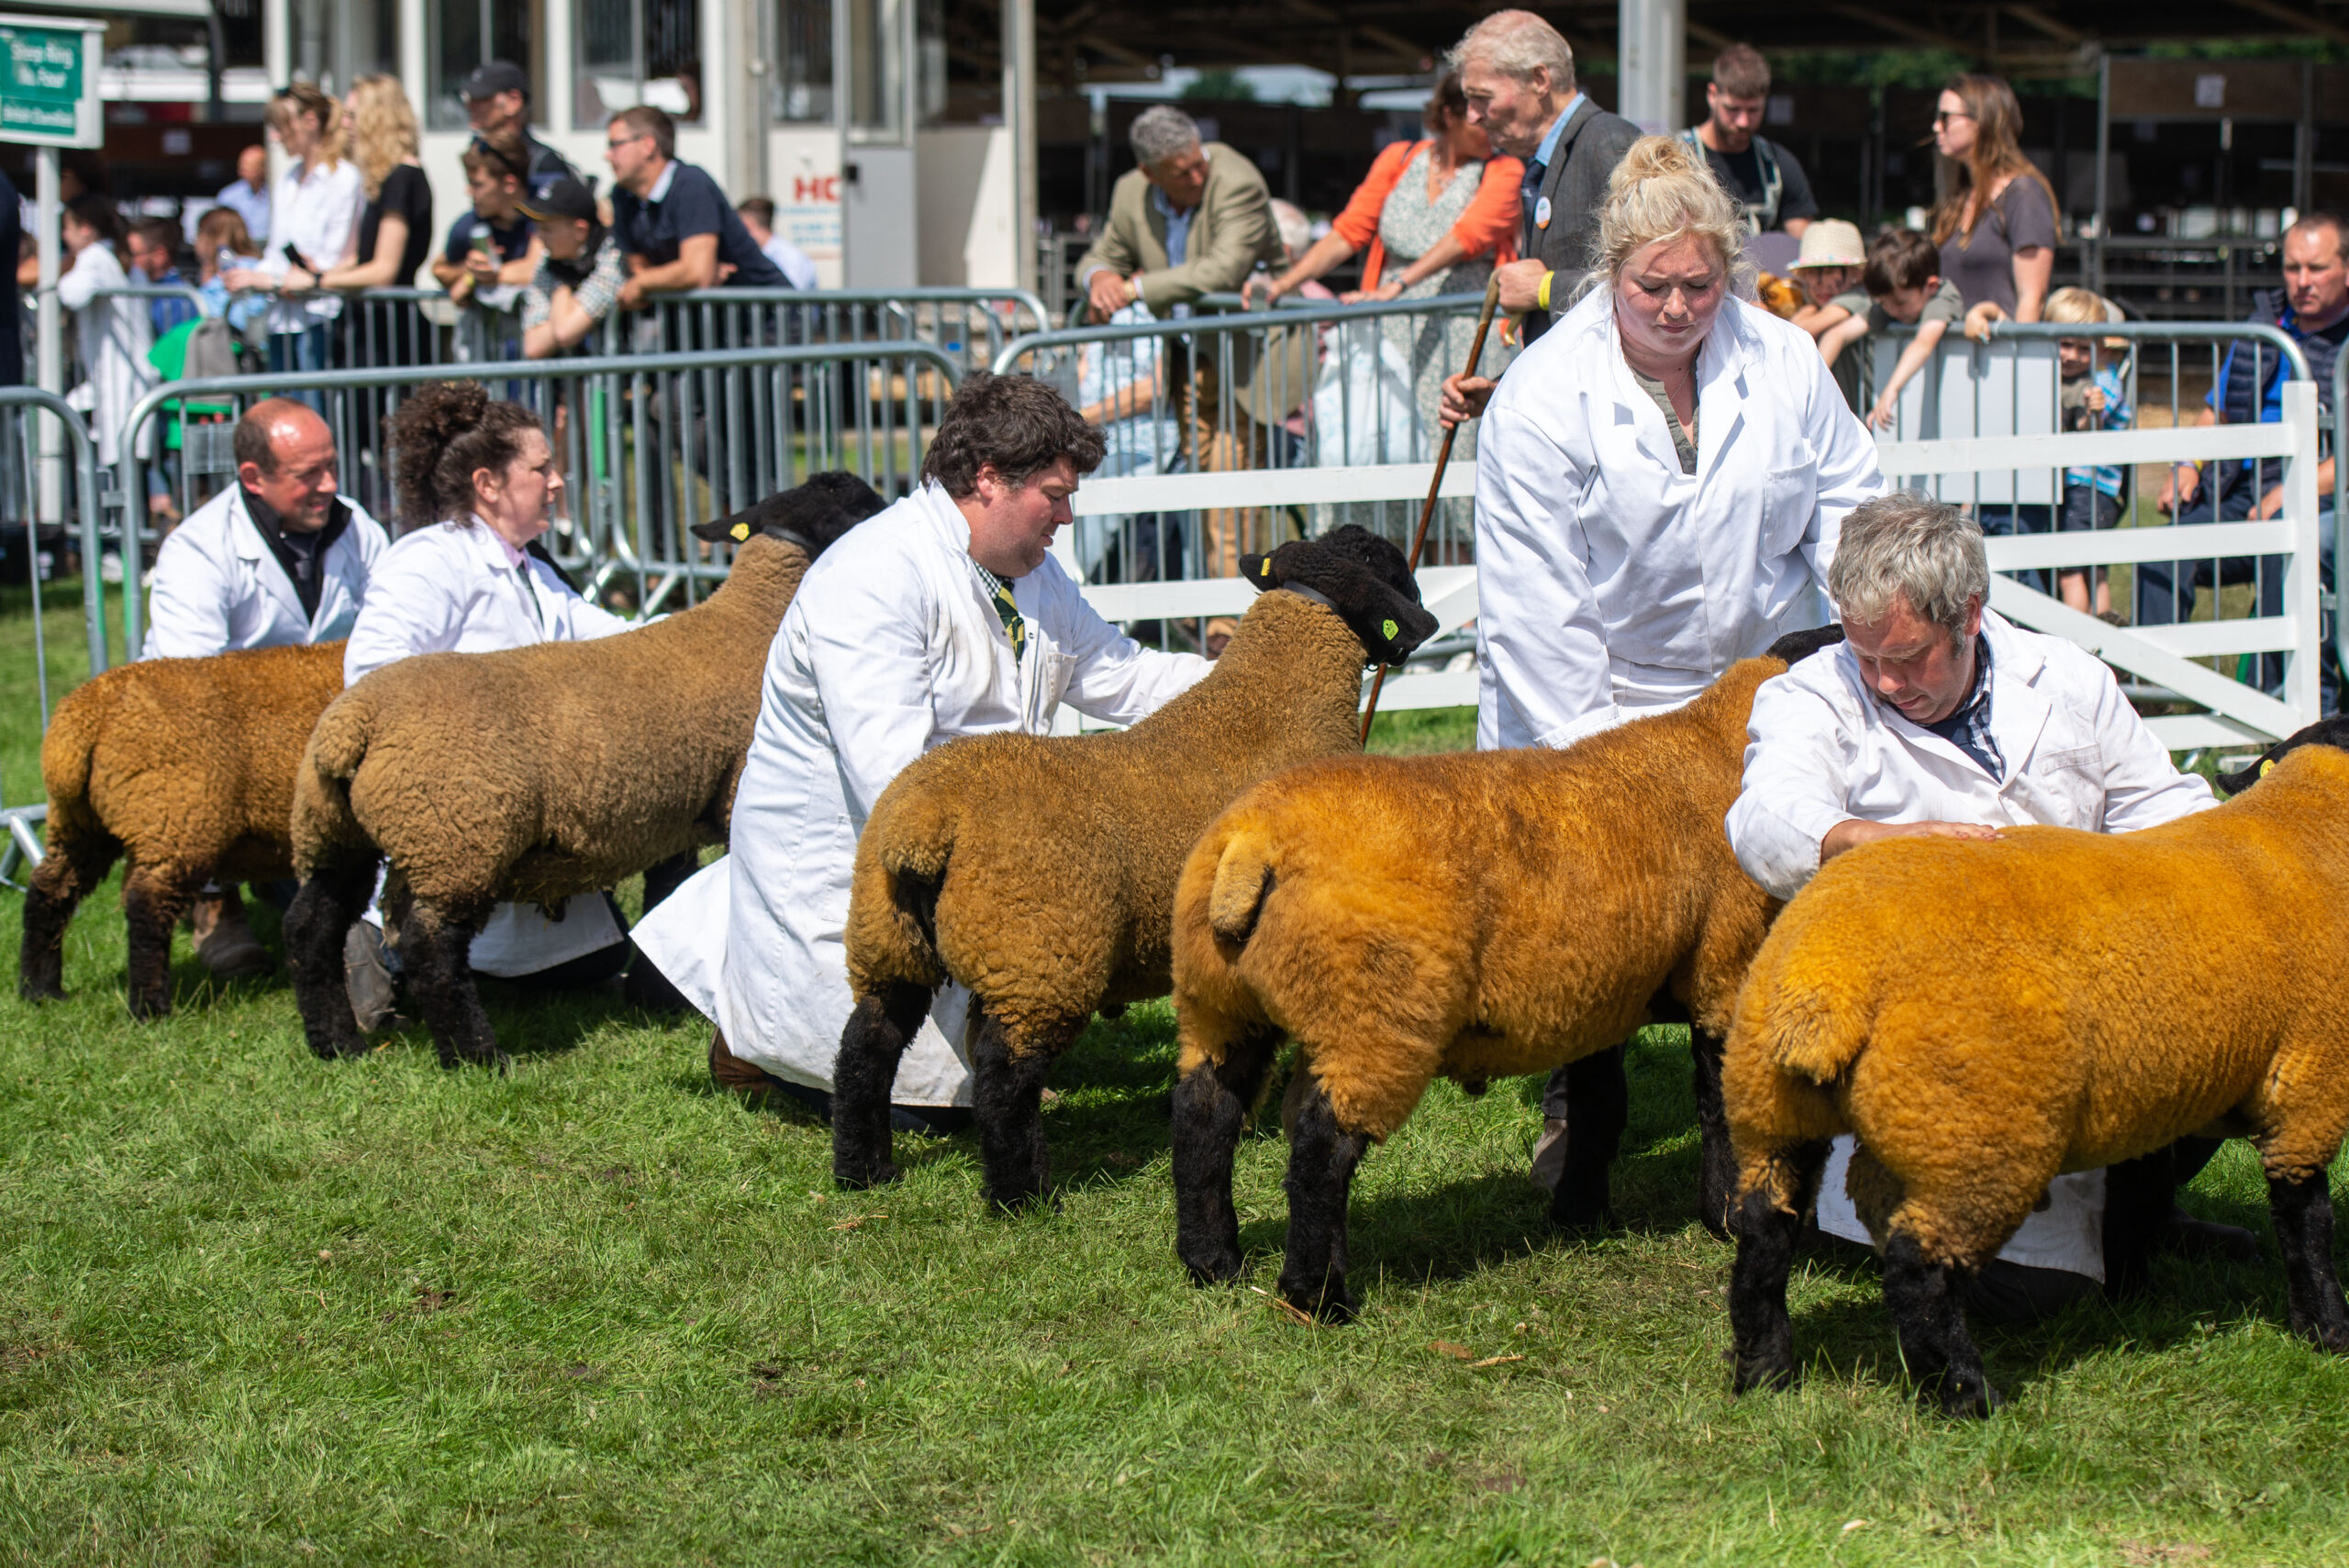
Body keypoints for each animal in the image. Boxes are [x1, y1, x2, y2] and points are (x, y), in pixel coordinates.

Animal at [18, 639, 349, 1018]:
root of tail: (85, 713)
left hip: (81, 824)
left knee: (50, 889)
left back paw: (40, 990)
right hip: (177, 821)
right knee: (147, 906)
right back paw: (150, 1009)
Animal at [284, 471, 886, 1069]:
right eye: (864, 507)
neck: (750, 620)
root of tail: (354, 724)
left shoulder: (668, 818)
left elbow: (664, 893)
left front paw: (656, 996)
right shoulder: (731, 794)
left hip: (336, 833)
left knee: (312, 924)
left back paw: (335, 1042)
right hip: (456, 836)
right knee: (428, 945)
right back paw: (476, 1056)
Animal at [830, 525, 1439, 1208]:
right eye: (1397, 569)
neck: (1268, 705)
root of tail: (926, 822)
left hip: (889, 940)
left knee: (866, 1048)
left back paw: (864, 1171)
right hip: (1040, 956)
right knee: (1002, 1078)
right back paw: (1024, 1197)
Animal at [1165, 626, 1847, 1322]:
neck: (1722, 744)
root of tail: (1252, 843)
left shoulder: (1597, 995)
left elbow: (1597, 1101)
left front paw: (1581, 1213)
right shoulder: (1724, 973)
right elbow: (1717, 1109)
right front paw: (1726, 1217)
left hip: (1224, 1003)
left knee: (1204, 1115)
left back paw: (1213, 1263)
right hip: (1375, 1020)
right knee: (1320, 1148)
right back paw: (1319, 1297)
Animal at [1722, 714, 2349, 1418]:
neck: (2309, 825)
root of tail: (1826, 969)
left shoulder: (2154, 1090)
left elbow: (2138, 1192)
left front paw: (2131, 1293)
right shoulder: (2310, 1087)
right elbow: (2308, 1224)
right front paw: (2327, 1333)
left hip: (1778, 1111)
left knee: (1765, 1235)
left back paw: (1766, 1372)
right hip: (1977, 1131)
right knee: (1917, 1268)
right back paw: (1969, 1398)